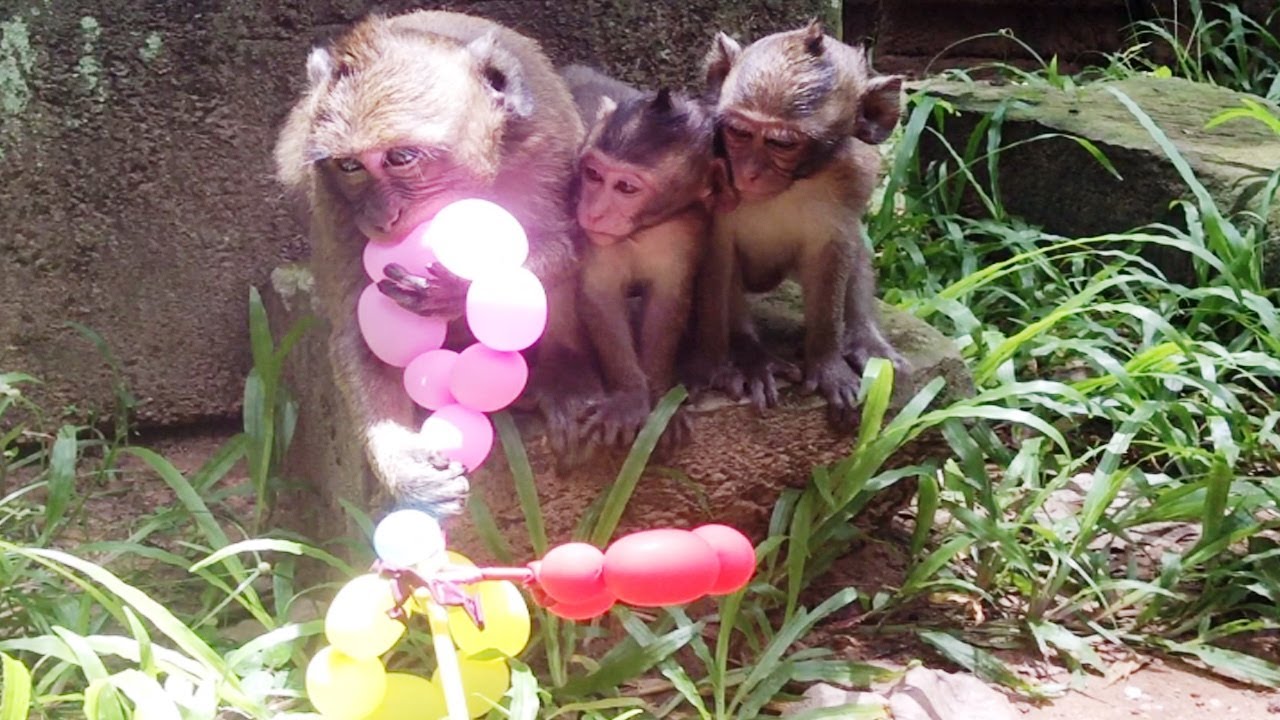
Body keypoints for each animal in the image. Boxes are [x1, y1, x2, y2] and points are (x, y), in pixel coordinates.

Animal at [273, 10, 599, 516]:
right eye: (350, 167)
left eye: (401, 157)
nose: (381, 218)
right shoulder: (333, 204)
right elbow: (357, 332)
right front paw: (404, 467)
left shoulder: (547, 146)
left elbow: (569, 247)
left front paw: (457, 294)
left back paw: (559, 382)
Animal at [558, 64, 731, 449]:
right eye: (592, 174)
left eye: (626, 187)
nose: (592, 213)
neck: (642, 228)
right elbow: (600, 295)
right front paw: (628, 397)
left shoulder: (688, 228)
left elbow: (667, 302)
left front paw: (659, 399)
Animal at [690, 18, 912, 429]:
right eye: (739, 133)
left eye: (781, 144)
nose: (749, 172)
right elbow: (717, 253)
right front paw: (738, 360)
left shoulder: (854, 177)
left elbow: (836, 252)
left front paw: (826, 362)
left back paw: (864, 339)